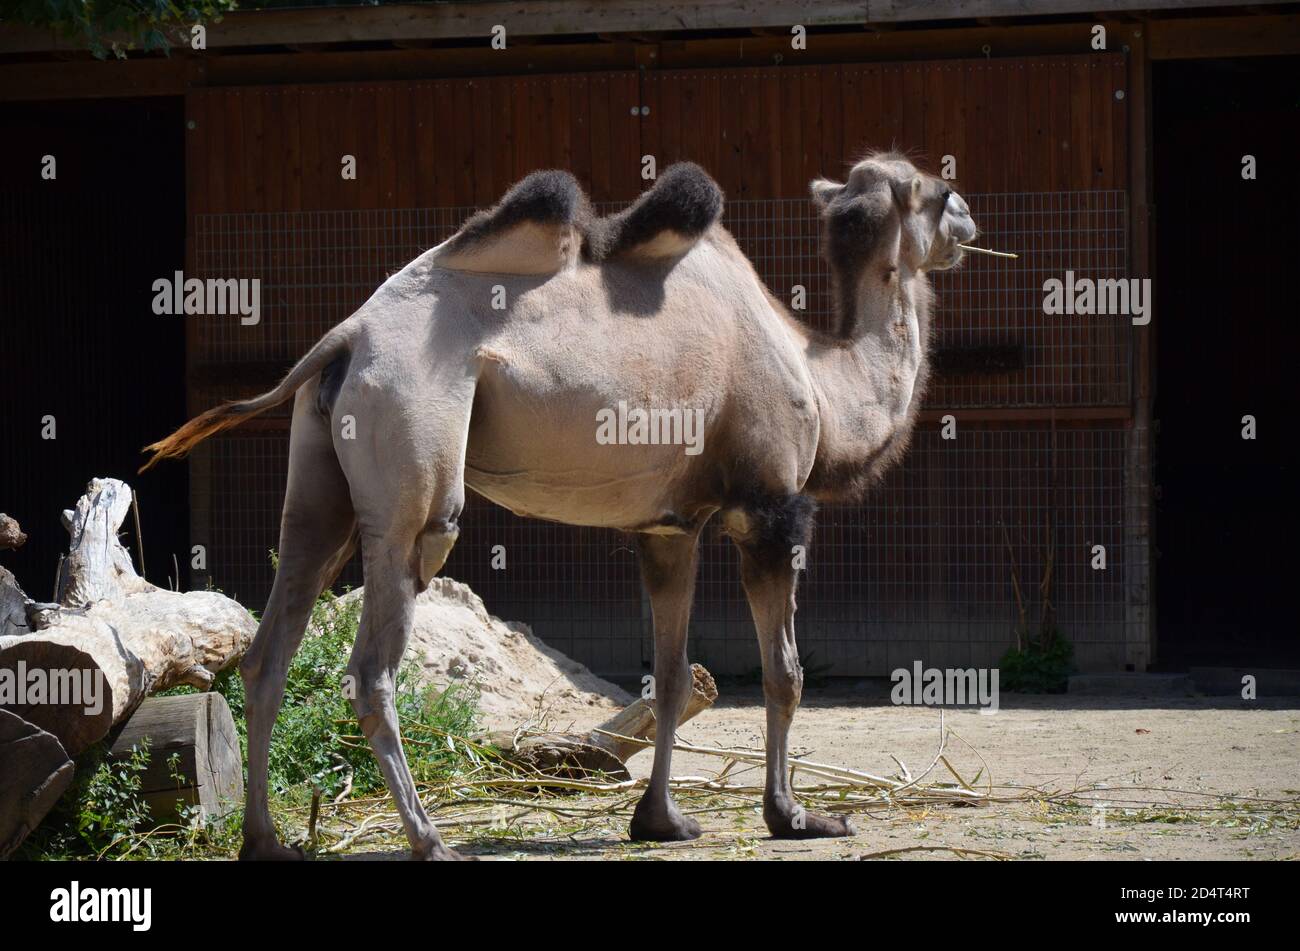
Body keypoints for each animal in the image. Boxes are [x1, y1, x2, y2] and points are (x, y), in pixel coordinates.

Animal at [142, 152, 976, 860]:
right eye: (934, 190)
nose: (969, 217)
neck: (822, 380)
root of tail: (345, 337)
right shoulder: (771, 509)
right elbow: (785, 673)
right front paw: (794, 815)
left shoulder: (667, 528)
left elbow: (673, 674)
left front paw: (660, 819)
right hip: (412, 445)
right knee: (377, 652)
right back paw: (430, 840)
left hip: (319, 479)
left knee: (270, 646)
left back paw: (266, 839)